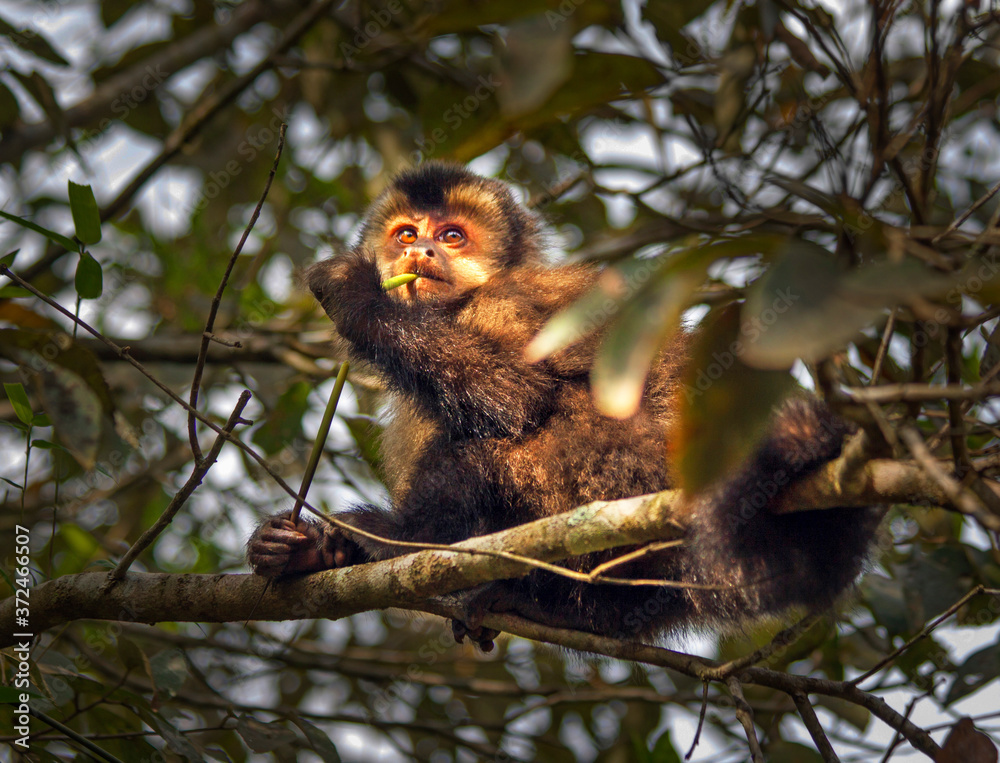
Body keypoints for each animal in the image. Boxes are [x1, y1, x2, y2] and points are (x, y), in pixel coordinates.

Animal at [247, 162, 882, 650]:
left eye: (452, 237)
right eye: (406, 235)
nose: (422, 250)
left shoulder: (503, 305)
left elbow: (515, 398)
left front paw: (350, 293)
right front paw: (305, 548)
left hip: (620, 472)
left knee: (494, 442)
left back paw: (401, 537)